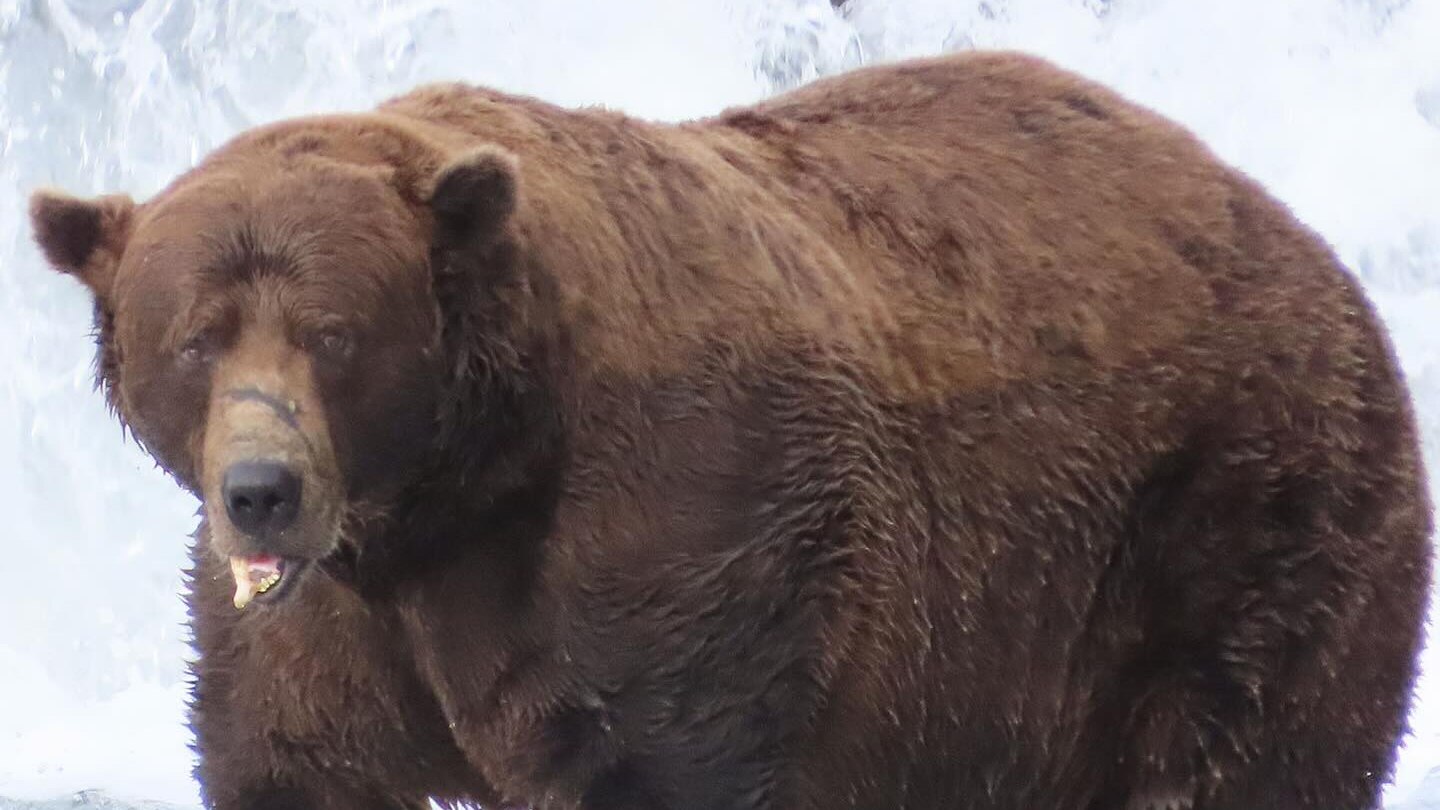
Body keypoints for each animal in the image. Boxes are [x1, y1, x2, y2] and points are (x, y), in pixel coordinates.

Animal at [27, 51, 1431, 810]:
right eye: (195, 337)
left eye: (332, 333)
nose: (262, 489)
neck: (451, 497)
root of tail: (1301, 238)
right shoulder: (325, 639)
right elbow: (291, 752)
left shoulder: (684, 548)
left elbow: (659, 750)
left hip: (1234, 526)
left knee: (1248, 752)